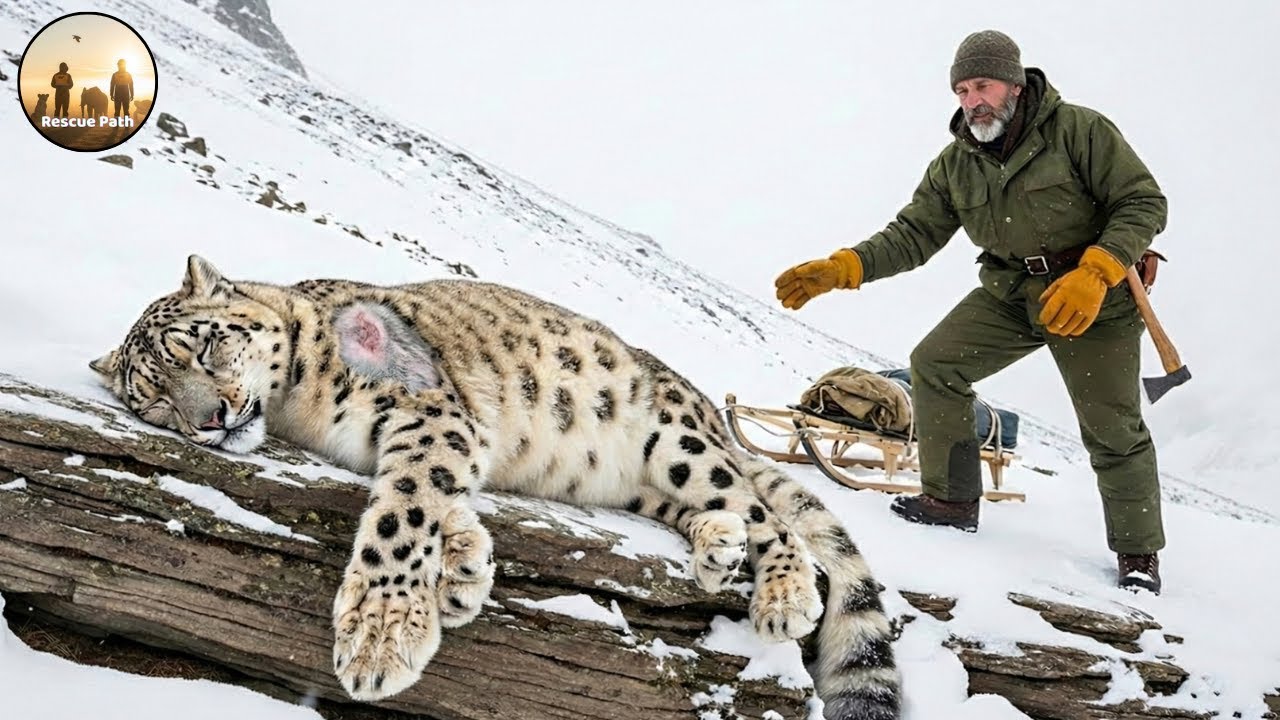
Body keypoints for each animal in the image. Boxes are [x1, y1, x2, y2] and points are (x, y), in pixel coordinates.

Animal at [89, 254, 901, 720]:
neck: (298, 410)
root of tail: (702, 404)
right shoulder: (441, 440)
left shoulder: (426, 409)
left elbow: (403, 511)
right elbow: (439, 503)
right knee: (709, 507)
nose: (211, 419)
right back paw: (715, 547)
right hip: (642, 483)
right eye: (153, 401)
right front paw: (464, 572)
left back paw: (783, 593)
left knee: (767, 511)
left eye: (203, 344)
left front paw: (381, 638)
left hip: (681, 442)